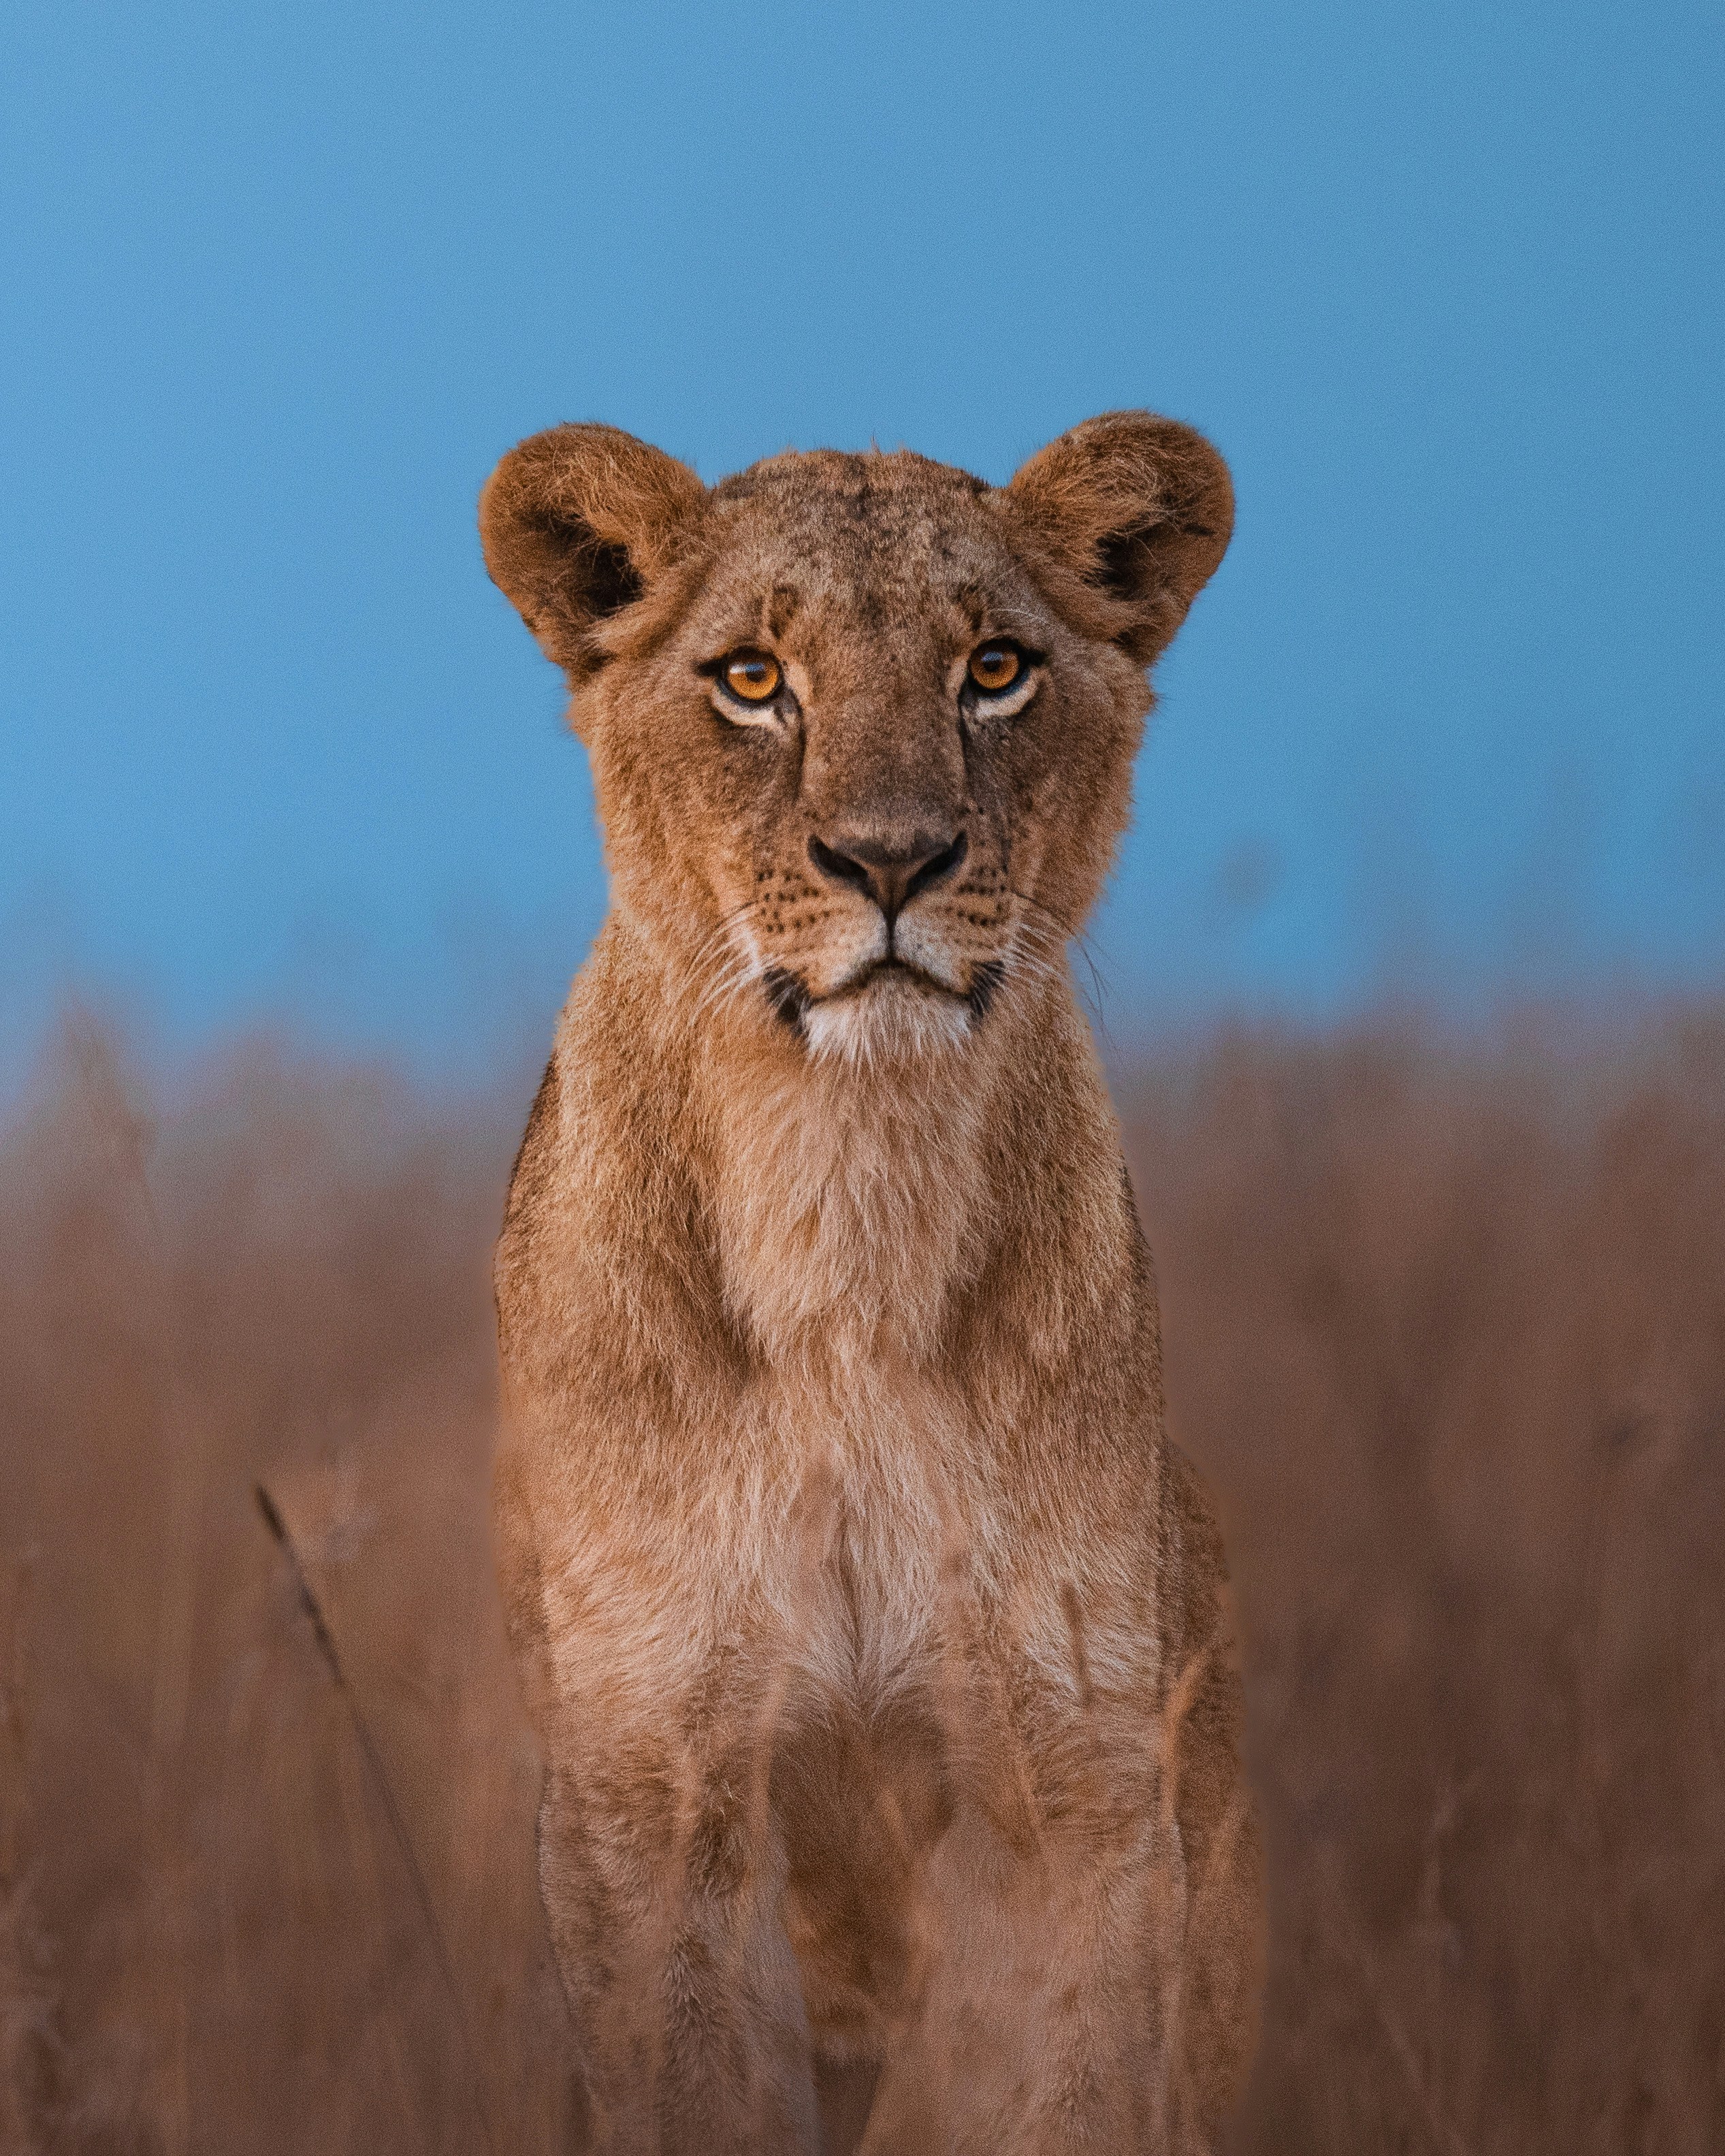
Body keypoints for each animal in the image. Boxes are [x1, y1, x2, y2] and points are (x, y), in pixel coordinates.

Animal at [480, 413, 1262, 2155]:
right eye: (753, 678)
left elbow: (1048, 2078)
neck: (847, 1183)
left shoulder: (1079, 1768)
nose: (892, 859)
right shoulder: (646, 1761)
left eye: (994, 668)